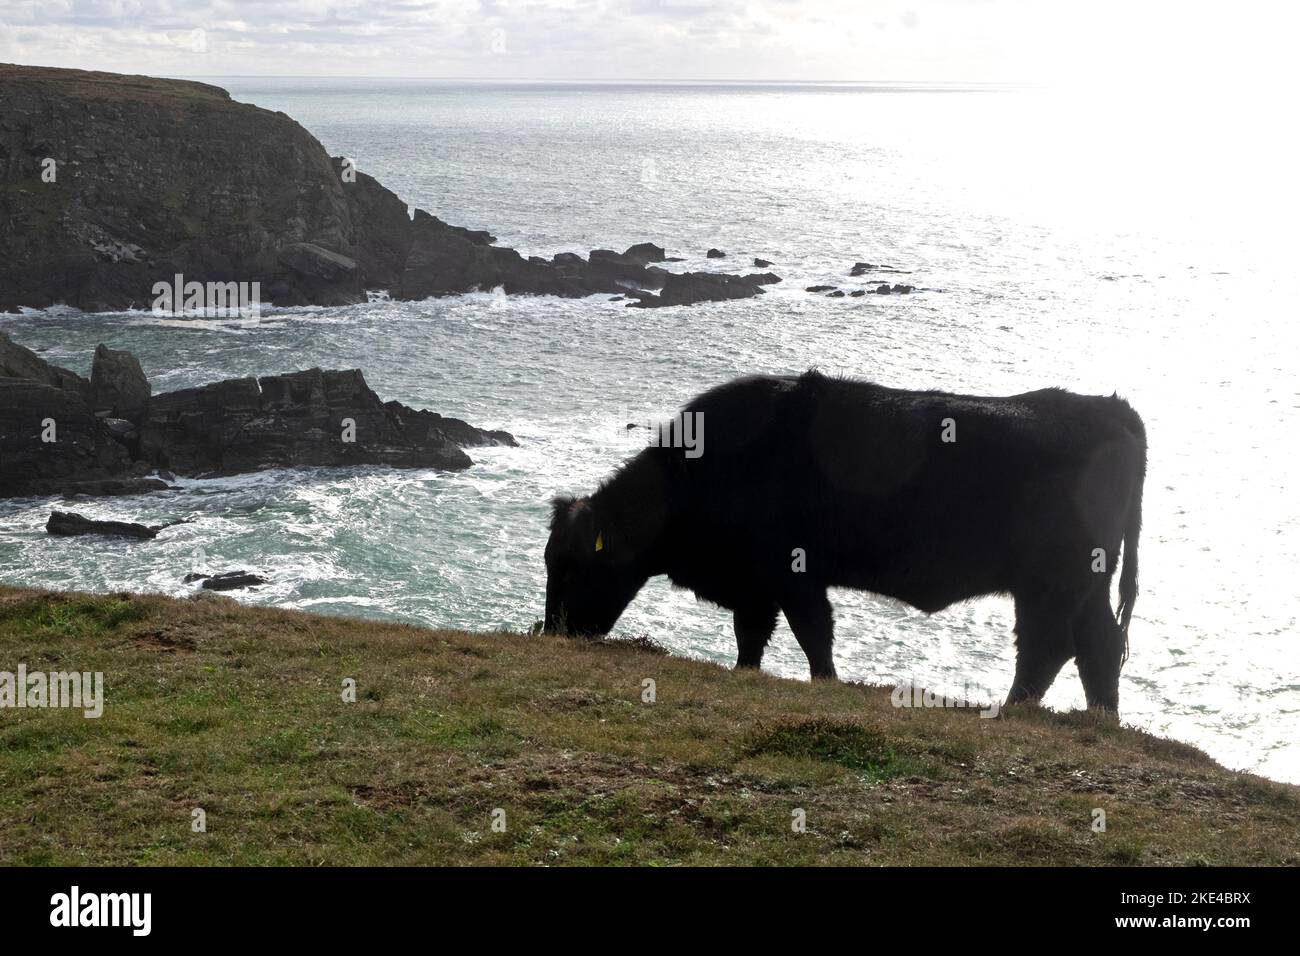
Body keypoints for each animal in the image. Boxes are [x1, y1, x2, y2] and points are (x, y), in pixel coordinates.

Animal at [544, 371, 1146, 711]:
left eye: (572, 567)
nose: (551, 634)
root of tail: (1110, 408)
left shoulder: (792, 576)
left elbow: (813, 636)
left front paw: (824, 683)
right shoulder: (758, 584)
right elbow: (752, 638)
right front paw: (748, 674)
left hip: (1051, 584)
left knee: (1048, 648)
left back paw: (1014, 708)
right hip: (1084, 584)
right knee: (1096, 647)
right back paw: (1102, 717)